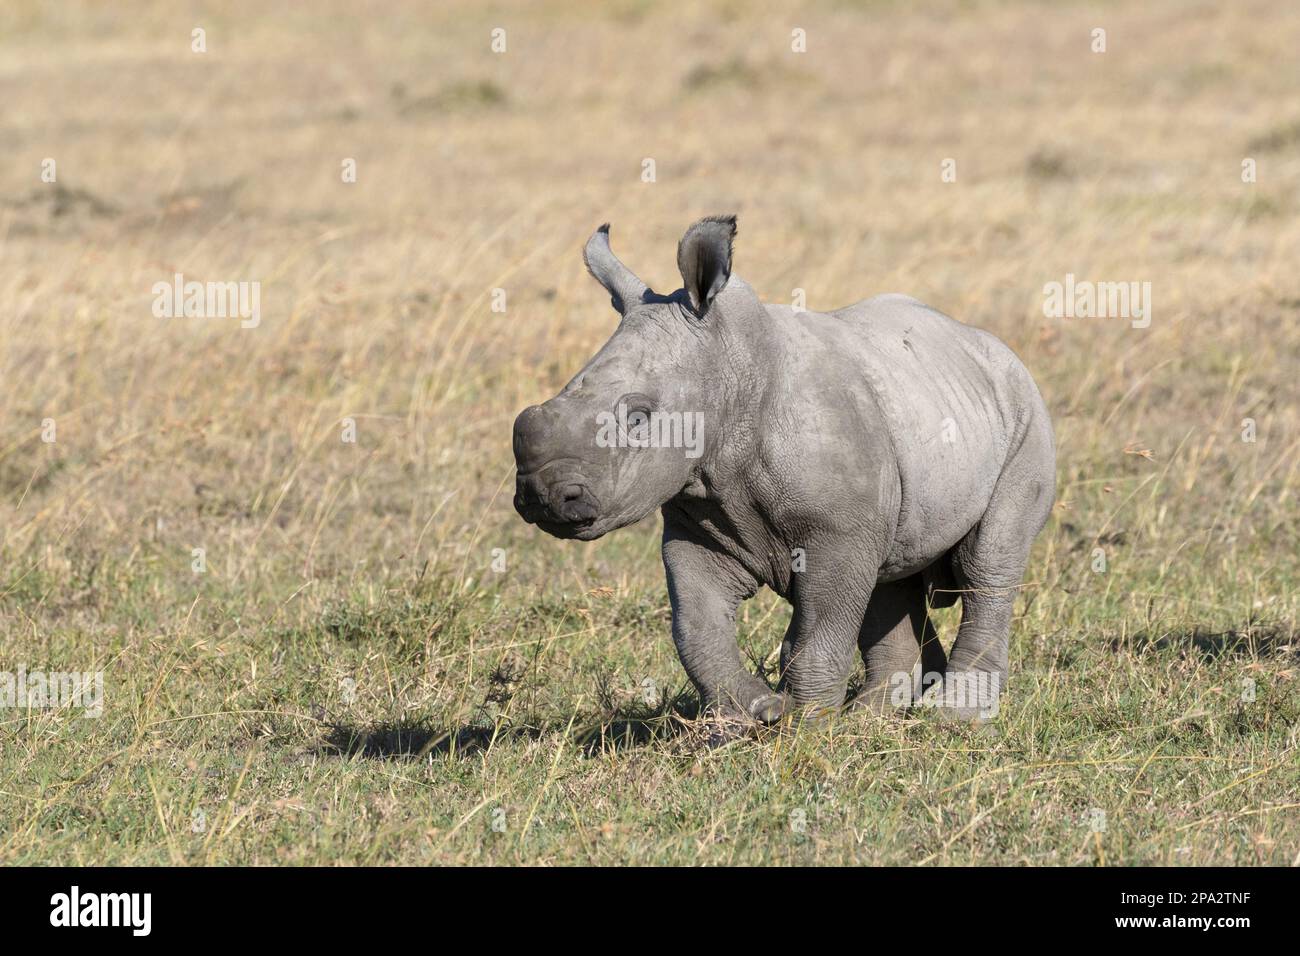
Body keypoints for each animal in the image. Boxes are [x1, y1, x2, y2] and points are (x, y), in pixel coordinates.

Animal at [512, 216, 1055, 735]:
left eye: (638, 418)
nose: (542, 495)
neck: (731, 371)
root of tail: (988, 344)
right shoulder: (699, 521)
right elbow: (695, 626)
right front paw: (748, 719)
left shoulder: (836, 533)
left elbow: (818, 631)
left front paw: (806, 728)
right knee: (890, 576)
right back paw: (875, 720)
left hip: (1024, 414)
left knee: (986, 564)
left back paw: (954, 719)